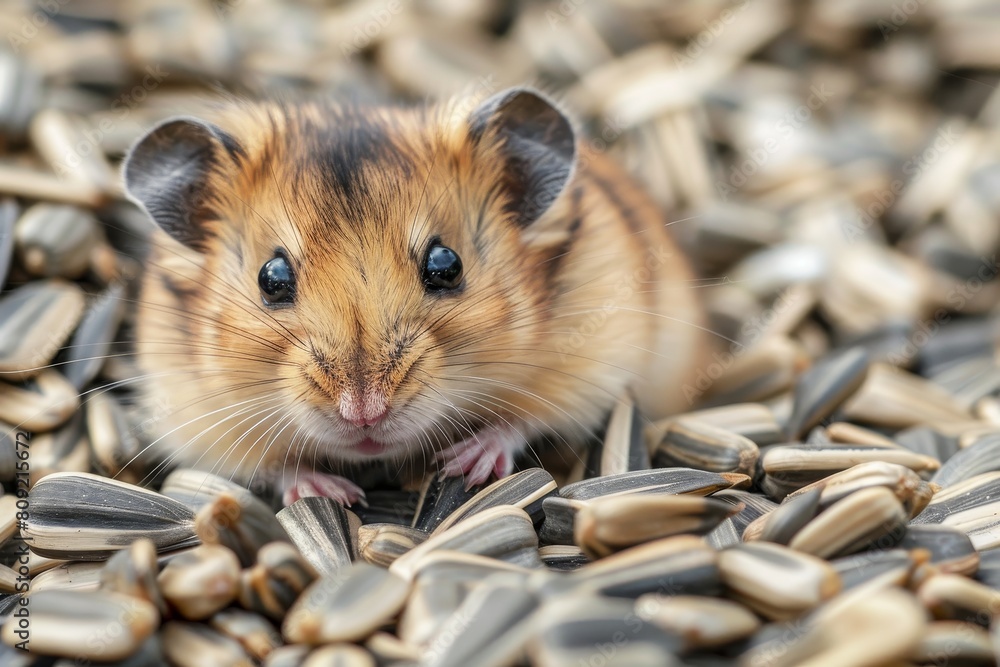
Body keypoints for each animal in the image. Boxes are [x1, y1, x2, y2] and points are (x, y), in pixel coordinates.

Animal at [123, 87, 707, 504]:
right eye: (271, 277)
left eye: (446, 265)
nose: (363, 416)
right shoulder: (197, 415)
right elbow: (274, 464)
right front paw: (333, 492)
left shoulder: (592, 361)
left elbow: (520, 419)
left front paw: (462, 463)